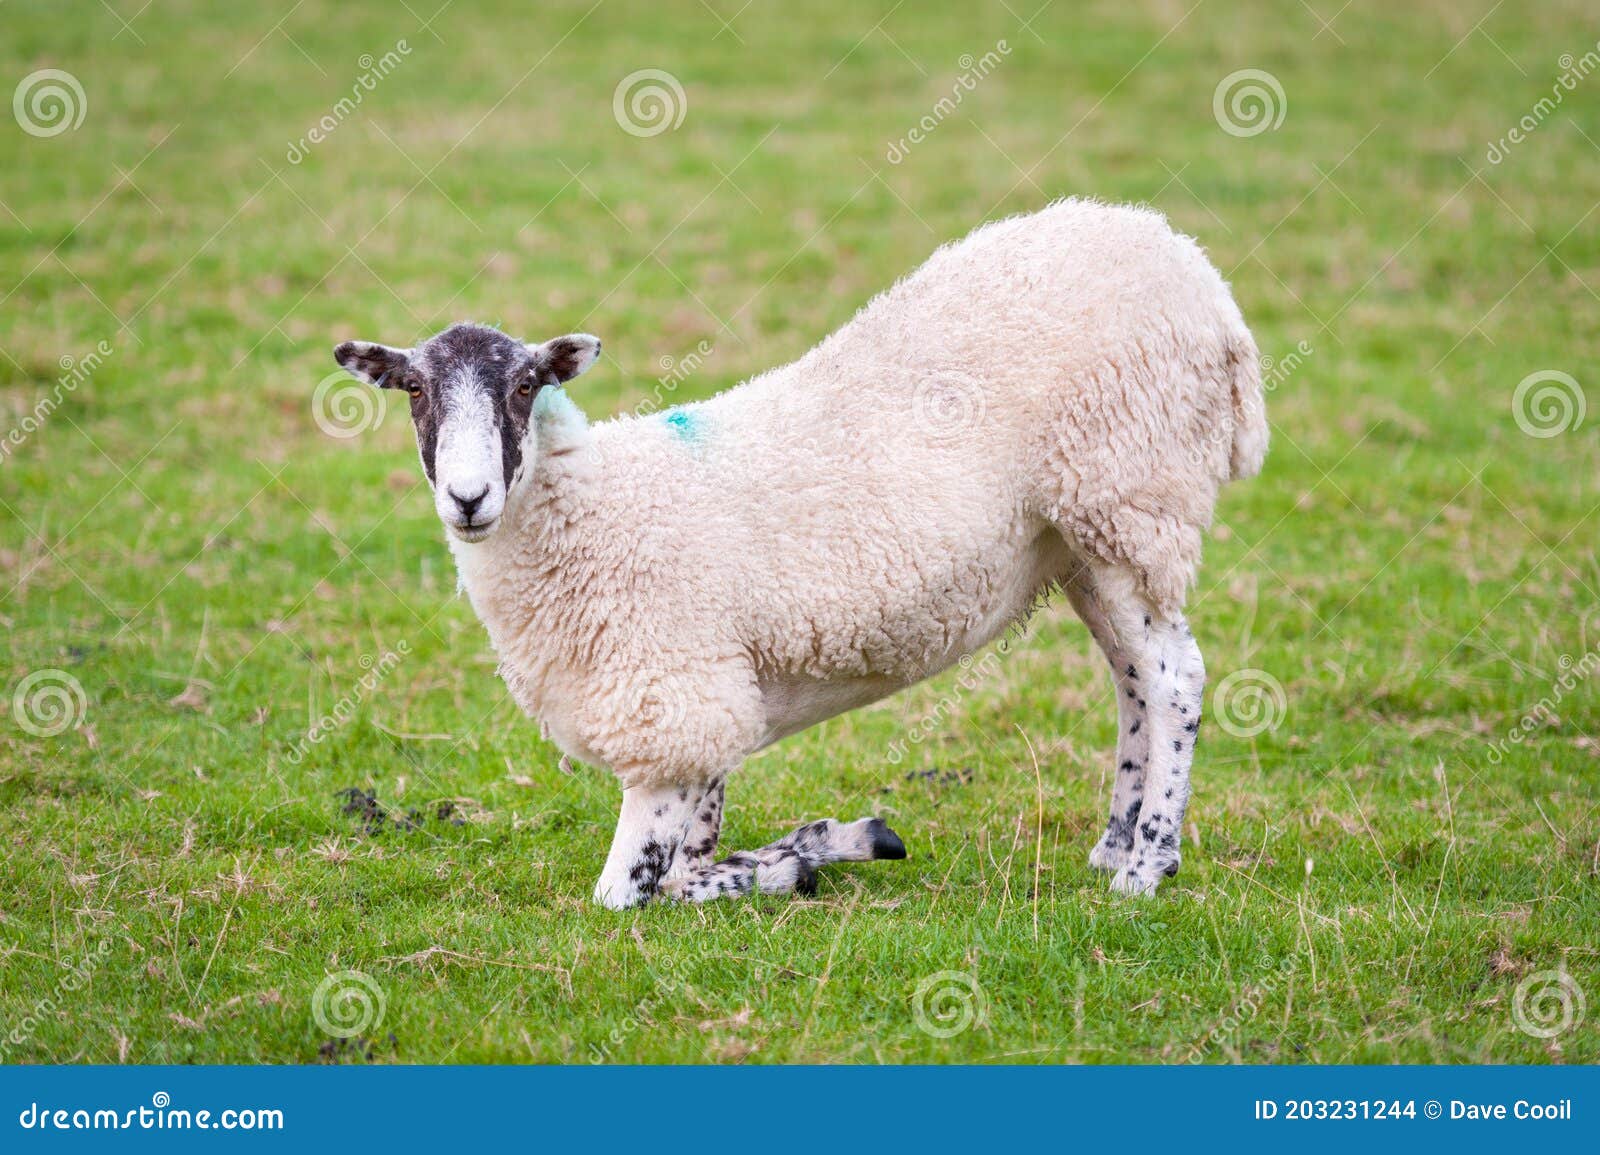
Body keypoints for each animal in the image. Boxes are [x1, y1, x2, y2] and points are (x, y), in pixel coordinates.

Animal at [332, 198, 1267, 909]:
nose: (468, 498)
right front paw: (816, 847)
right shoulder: (710, 707)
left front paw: (807, 855)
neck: (599, 510)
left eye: (525, 386)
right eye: (413, 389)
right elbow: (694, 860)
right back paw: (1113, 845)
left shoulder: (671, 703)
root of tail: (1198, 275)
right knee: (1133, 676)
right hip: (1081, 538)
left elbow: (631, 890)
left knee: (1174, 677)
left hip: (1130, 494)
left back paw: (1149, 864)